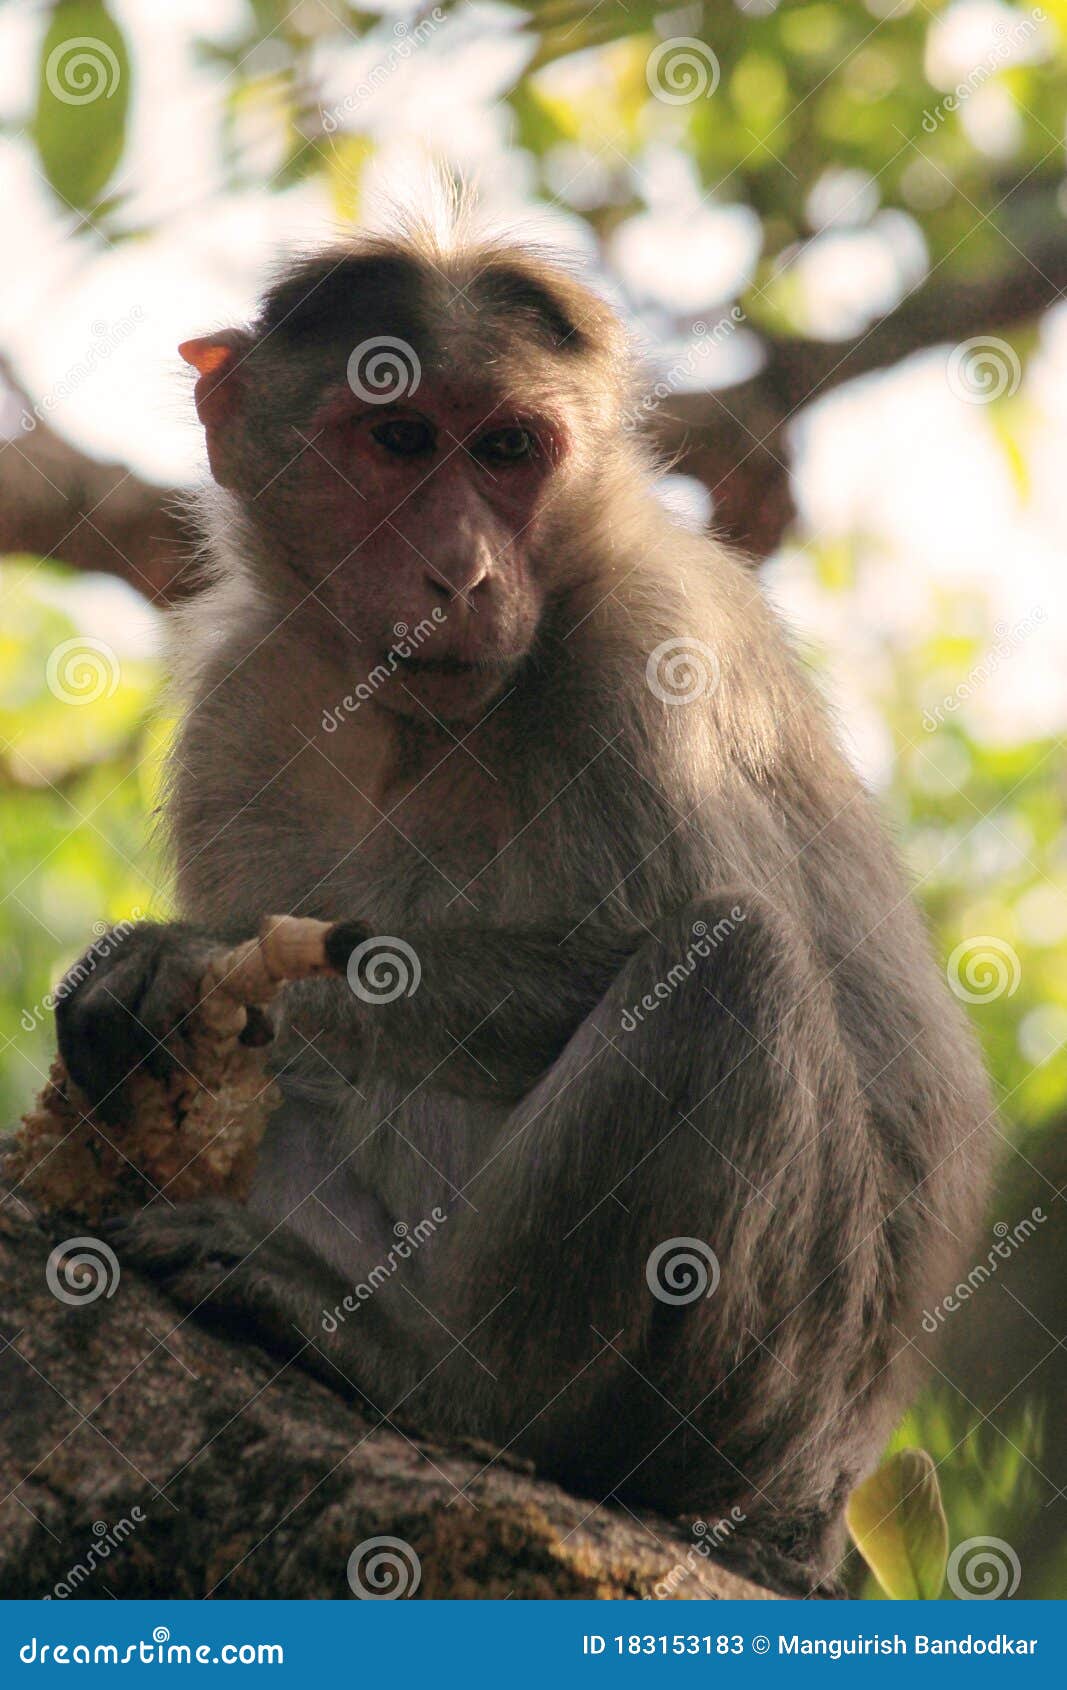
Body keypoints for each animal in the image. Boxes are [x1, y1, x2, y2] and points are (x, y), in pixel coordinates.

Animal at [53, 210, 994, 1596]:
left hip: (759, 1391)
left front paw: (180, 958)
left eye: (507, 450)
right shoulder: (249, 698)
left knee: (731, 963)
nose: (459, 573)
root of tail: (814, 1505)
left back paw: (447, 1384)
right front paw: (144, 1009)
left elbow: (620, 950)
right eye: (397, 439)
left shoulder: (646, 654)